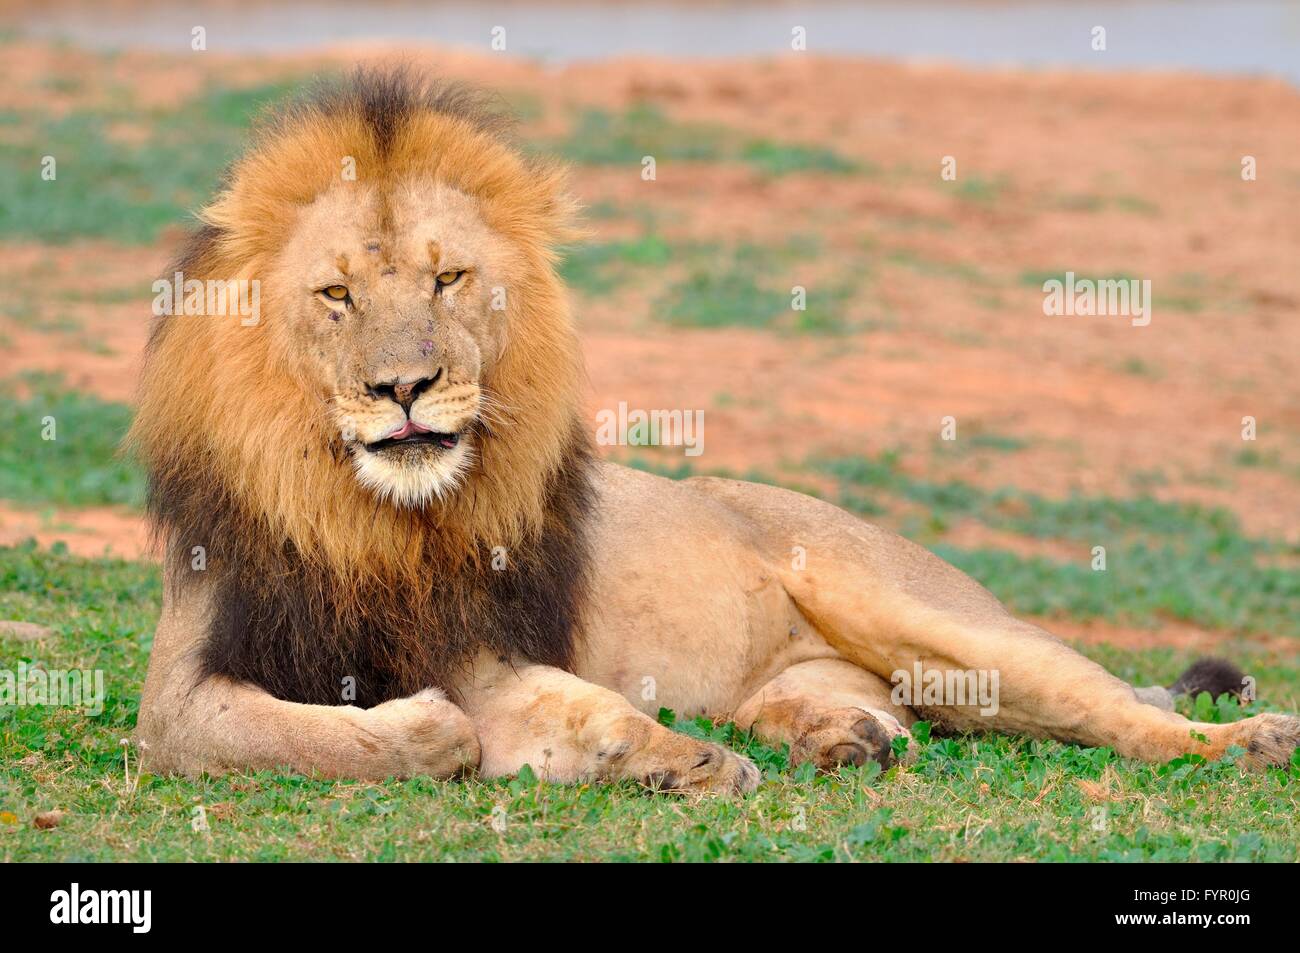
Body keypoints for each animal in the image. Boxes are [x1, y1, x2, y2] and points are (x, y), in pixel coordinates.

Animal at [129, 68, 1300, 792]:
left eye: (448, 278)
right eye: (336, 295)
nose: (405, 385)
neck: (372, 517)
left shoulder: (477, 644)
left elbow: (543, 711)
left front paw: (669, 759)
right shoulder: (180, 696)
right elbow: (362, 733)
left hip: (934, 617)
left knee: (1117, 709)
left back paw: (1247, 739)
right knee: (868, 714)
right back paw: (841, 737)